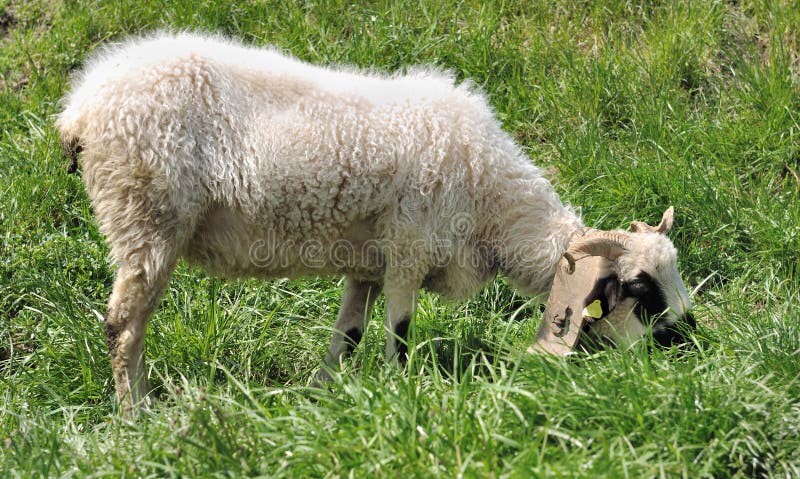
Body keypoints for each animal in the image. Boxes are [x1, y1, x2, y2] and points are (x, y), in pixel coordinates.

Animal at [56, 32, 695, 414]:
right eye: (638, 288)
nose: (689, 343)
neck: (492, 206)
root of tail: (81, 107)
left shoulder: (367, 263)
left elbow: (348, 335)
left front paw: (322, 398)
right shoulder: (409, 251)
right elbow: (400, 335)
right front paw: (401, 397)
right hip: (145, 218)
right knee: (123, 326)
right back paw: (135, 415)